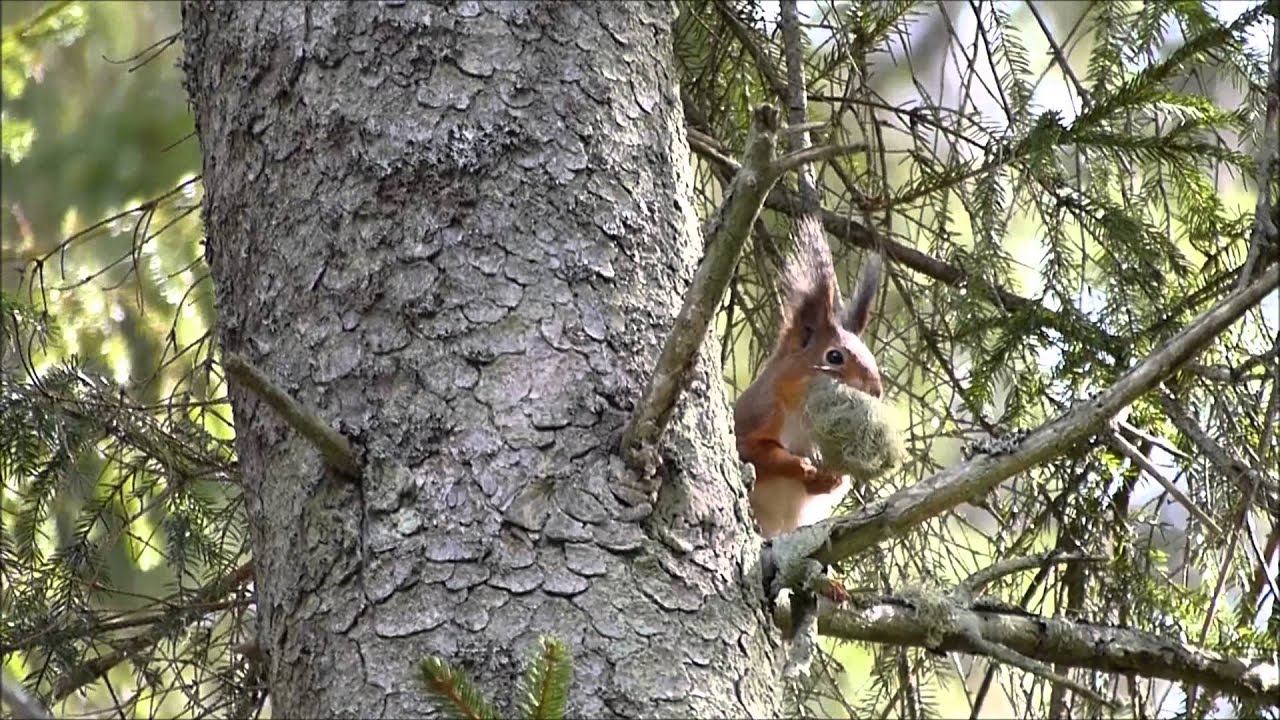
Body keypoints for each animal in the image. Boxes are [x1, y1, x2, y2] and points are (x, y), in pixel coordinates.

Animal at [734, 213, 883, 538]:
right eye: (834, 357)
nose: (876, 391)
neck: (802, 413)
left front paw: (832, 477)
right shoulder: (756, 417)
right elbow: (754, 452)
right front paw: (801, 466)